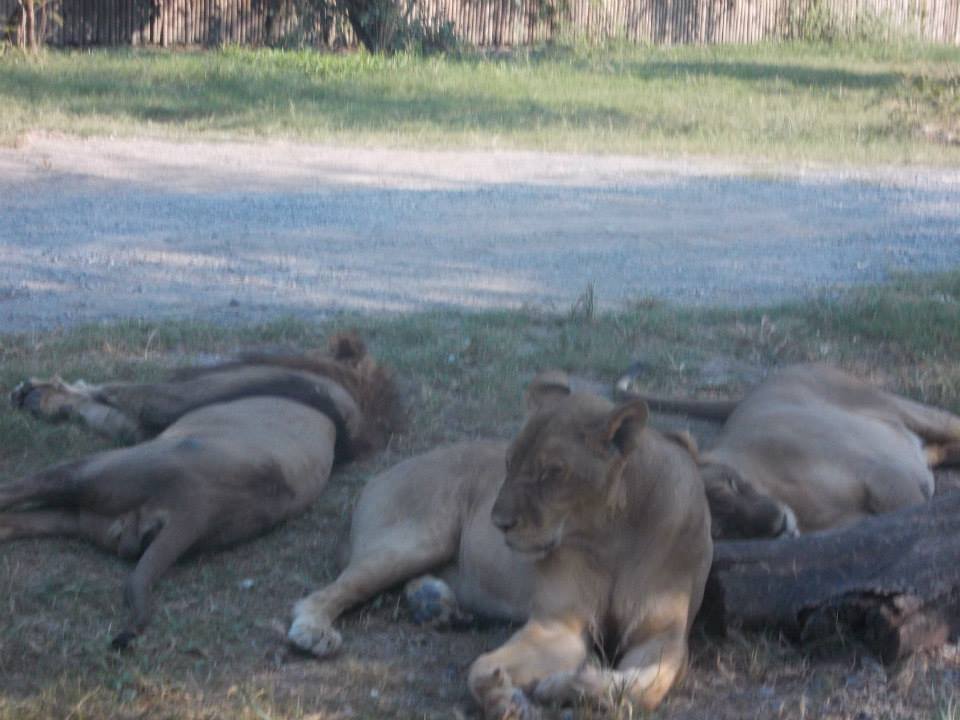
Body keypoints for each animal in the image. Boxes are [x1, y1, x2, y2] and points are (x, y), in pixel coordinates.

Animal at [1, 333, 400, 647]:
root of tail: (200, 508)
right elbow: (101, 407)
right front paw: (39, 398)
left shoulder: (180, 395)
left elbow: (110, 391)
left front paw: (40, 394)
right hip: (82, 516)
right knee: (17, 520)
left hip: (95, 469)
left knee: (18, 490)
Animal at [288, 371, 712, 717]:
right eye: (510, 461)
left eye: (552, 472)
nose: (498, 523)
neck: (613, 537)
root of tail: (379, 476)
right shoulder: (557, 623)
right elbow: (480, 669)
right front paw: (508, 698)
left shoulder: (664, 636)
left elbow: (646, 686)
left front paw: (571, 684)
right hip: (416, 540)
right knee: (329, 591)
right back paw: (315, 631)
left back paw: (435, 604)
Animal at [616, 362, 960, 534]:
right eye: (721, 529)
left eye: (732, 484)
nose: (777, 525)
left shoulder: (883, 473)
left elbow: (906, 509)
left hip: (903, 409)